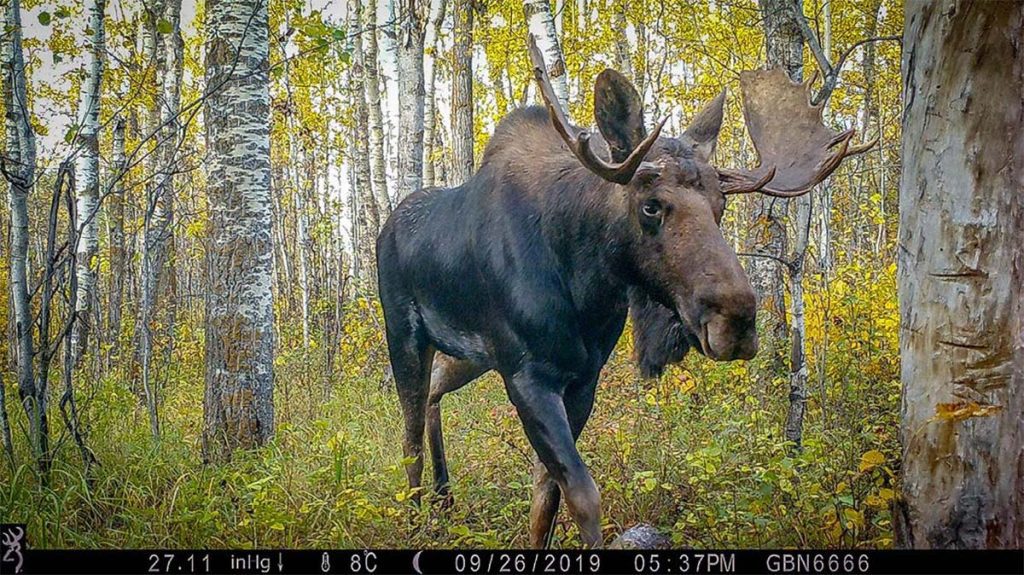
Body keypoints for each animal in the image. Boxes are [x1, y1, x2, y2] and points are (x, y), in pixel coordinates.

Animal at [375, 36, 874, 548]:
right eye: (651, 206)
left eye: (720, 205)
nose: (736, 320)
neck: (587, 287)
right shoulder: (527, 375)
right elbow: (582, 495)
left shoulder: (582, 379)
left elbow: (545, 500)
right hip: (407, 336)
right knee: (409, 433)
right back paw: (417, 517)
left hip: (471, 354)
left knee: (434, 394)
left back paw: (445, 498)